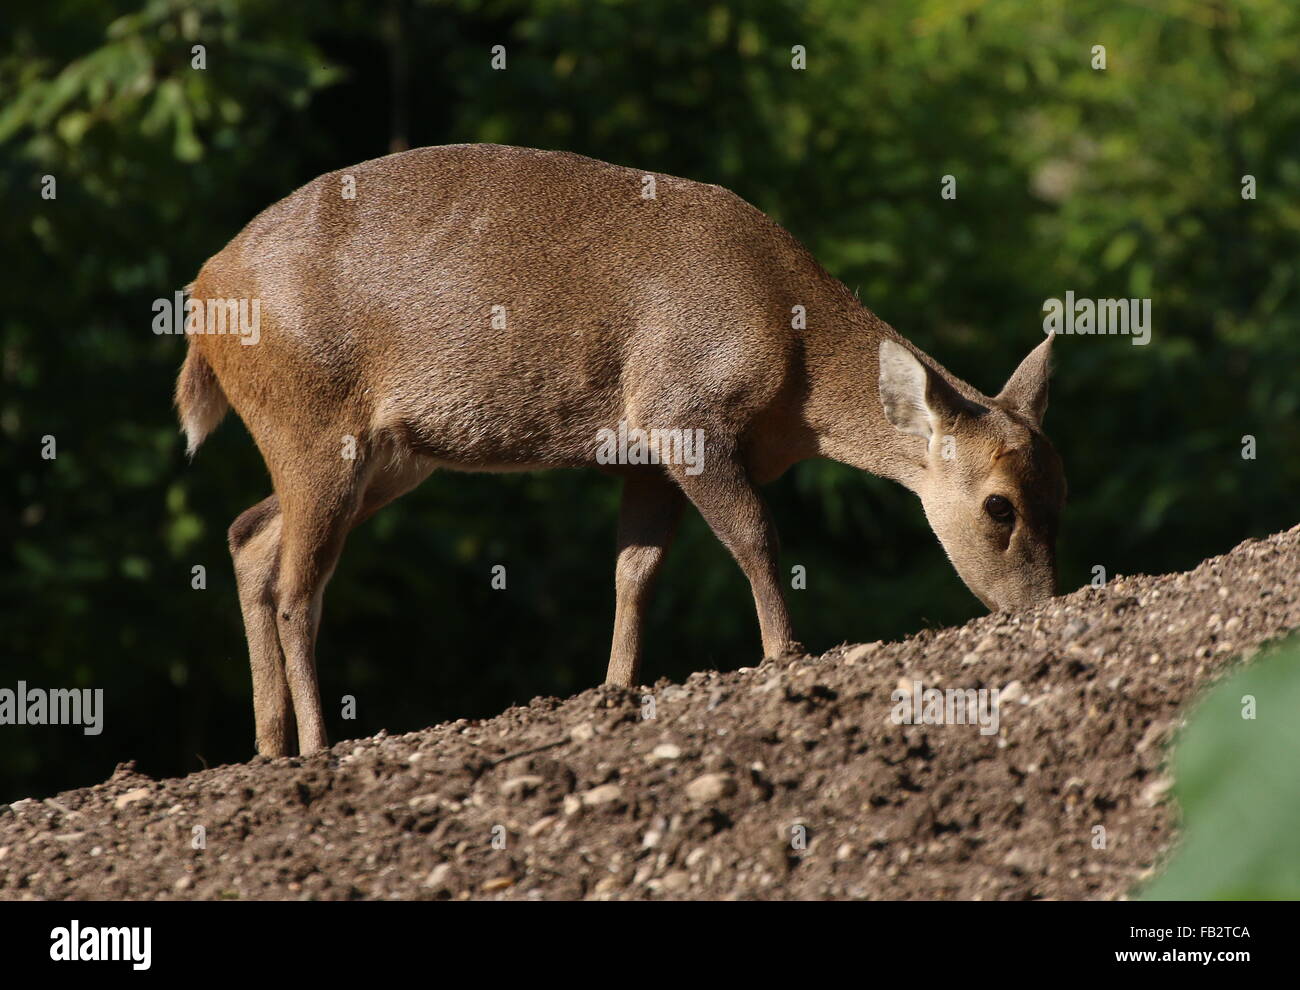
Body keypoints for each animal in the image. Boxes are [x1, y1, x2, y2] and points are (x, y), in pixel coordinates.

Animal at [175, 144, 1066, 758]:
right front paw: (786, 656)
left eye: (1060, 488)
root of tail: (201, 298)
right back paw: (320, 744)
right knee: (299, 587)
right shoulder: (683, 410)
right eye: (998, 506)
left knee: (250, 535)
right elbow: (756, 537)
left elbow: (634, 572)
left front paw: (613, 689)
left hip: (390, 452)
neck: (794, 375)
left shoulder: (643, 453)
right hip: (314, 422)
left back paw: (268, 745)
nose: (1040, 603)